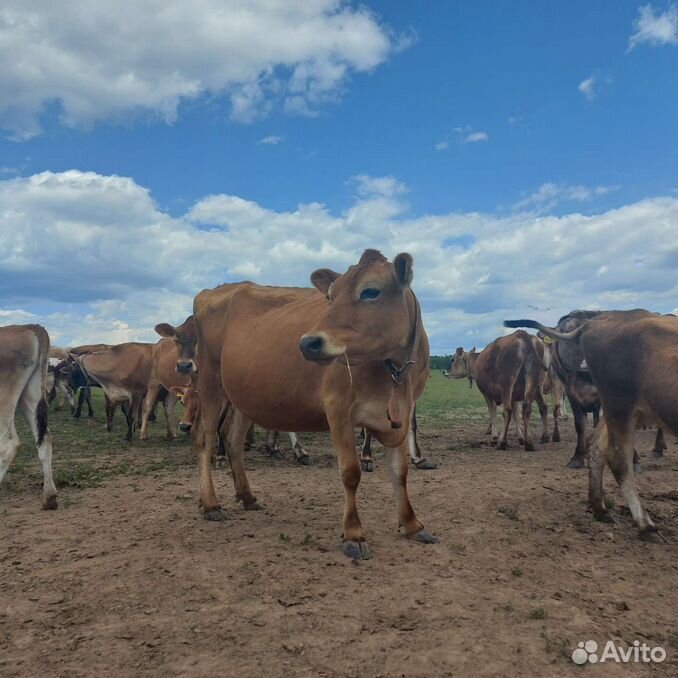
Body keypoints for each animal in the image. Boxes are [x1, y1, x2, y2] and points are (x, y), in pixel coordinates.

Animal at [193, 252, 436, 560]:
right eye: (330, 296)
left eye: (371, 291)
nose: (308, 342)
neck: (394, 372)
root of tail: (214, 291)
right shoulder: (337, 407)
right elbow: (351, 473)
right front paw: (353, 534)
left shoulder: (402, 413)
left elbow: (399, 472)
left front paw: (412, 524)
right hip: (209, 380)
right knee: (205, 439)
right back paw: (210, 504)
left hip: (244, 394)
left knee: (233, 439)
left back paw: (247, 497)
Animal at [508, 312, 678, 540]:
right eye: (564, 335)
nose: (583, 367)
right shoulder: (575, 395)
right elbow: (580, 426)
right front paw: (576, 457)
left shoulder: (600, 403)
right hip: (619, 403)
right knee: (614, 457)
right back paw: (643, 524)